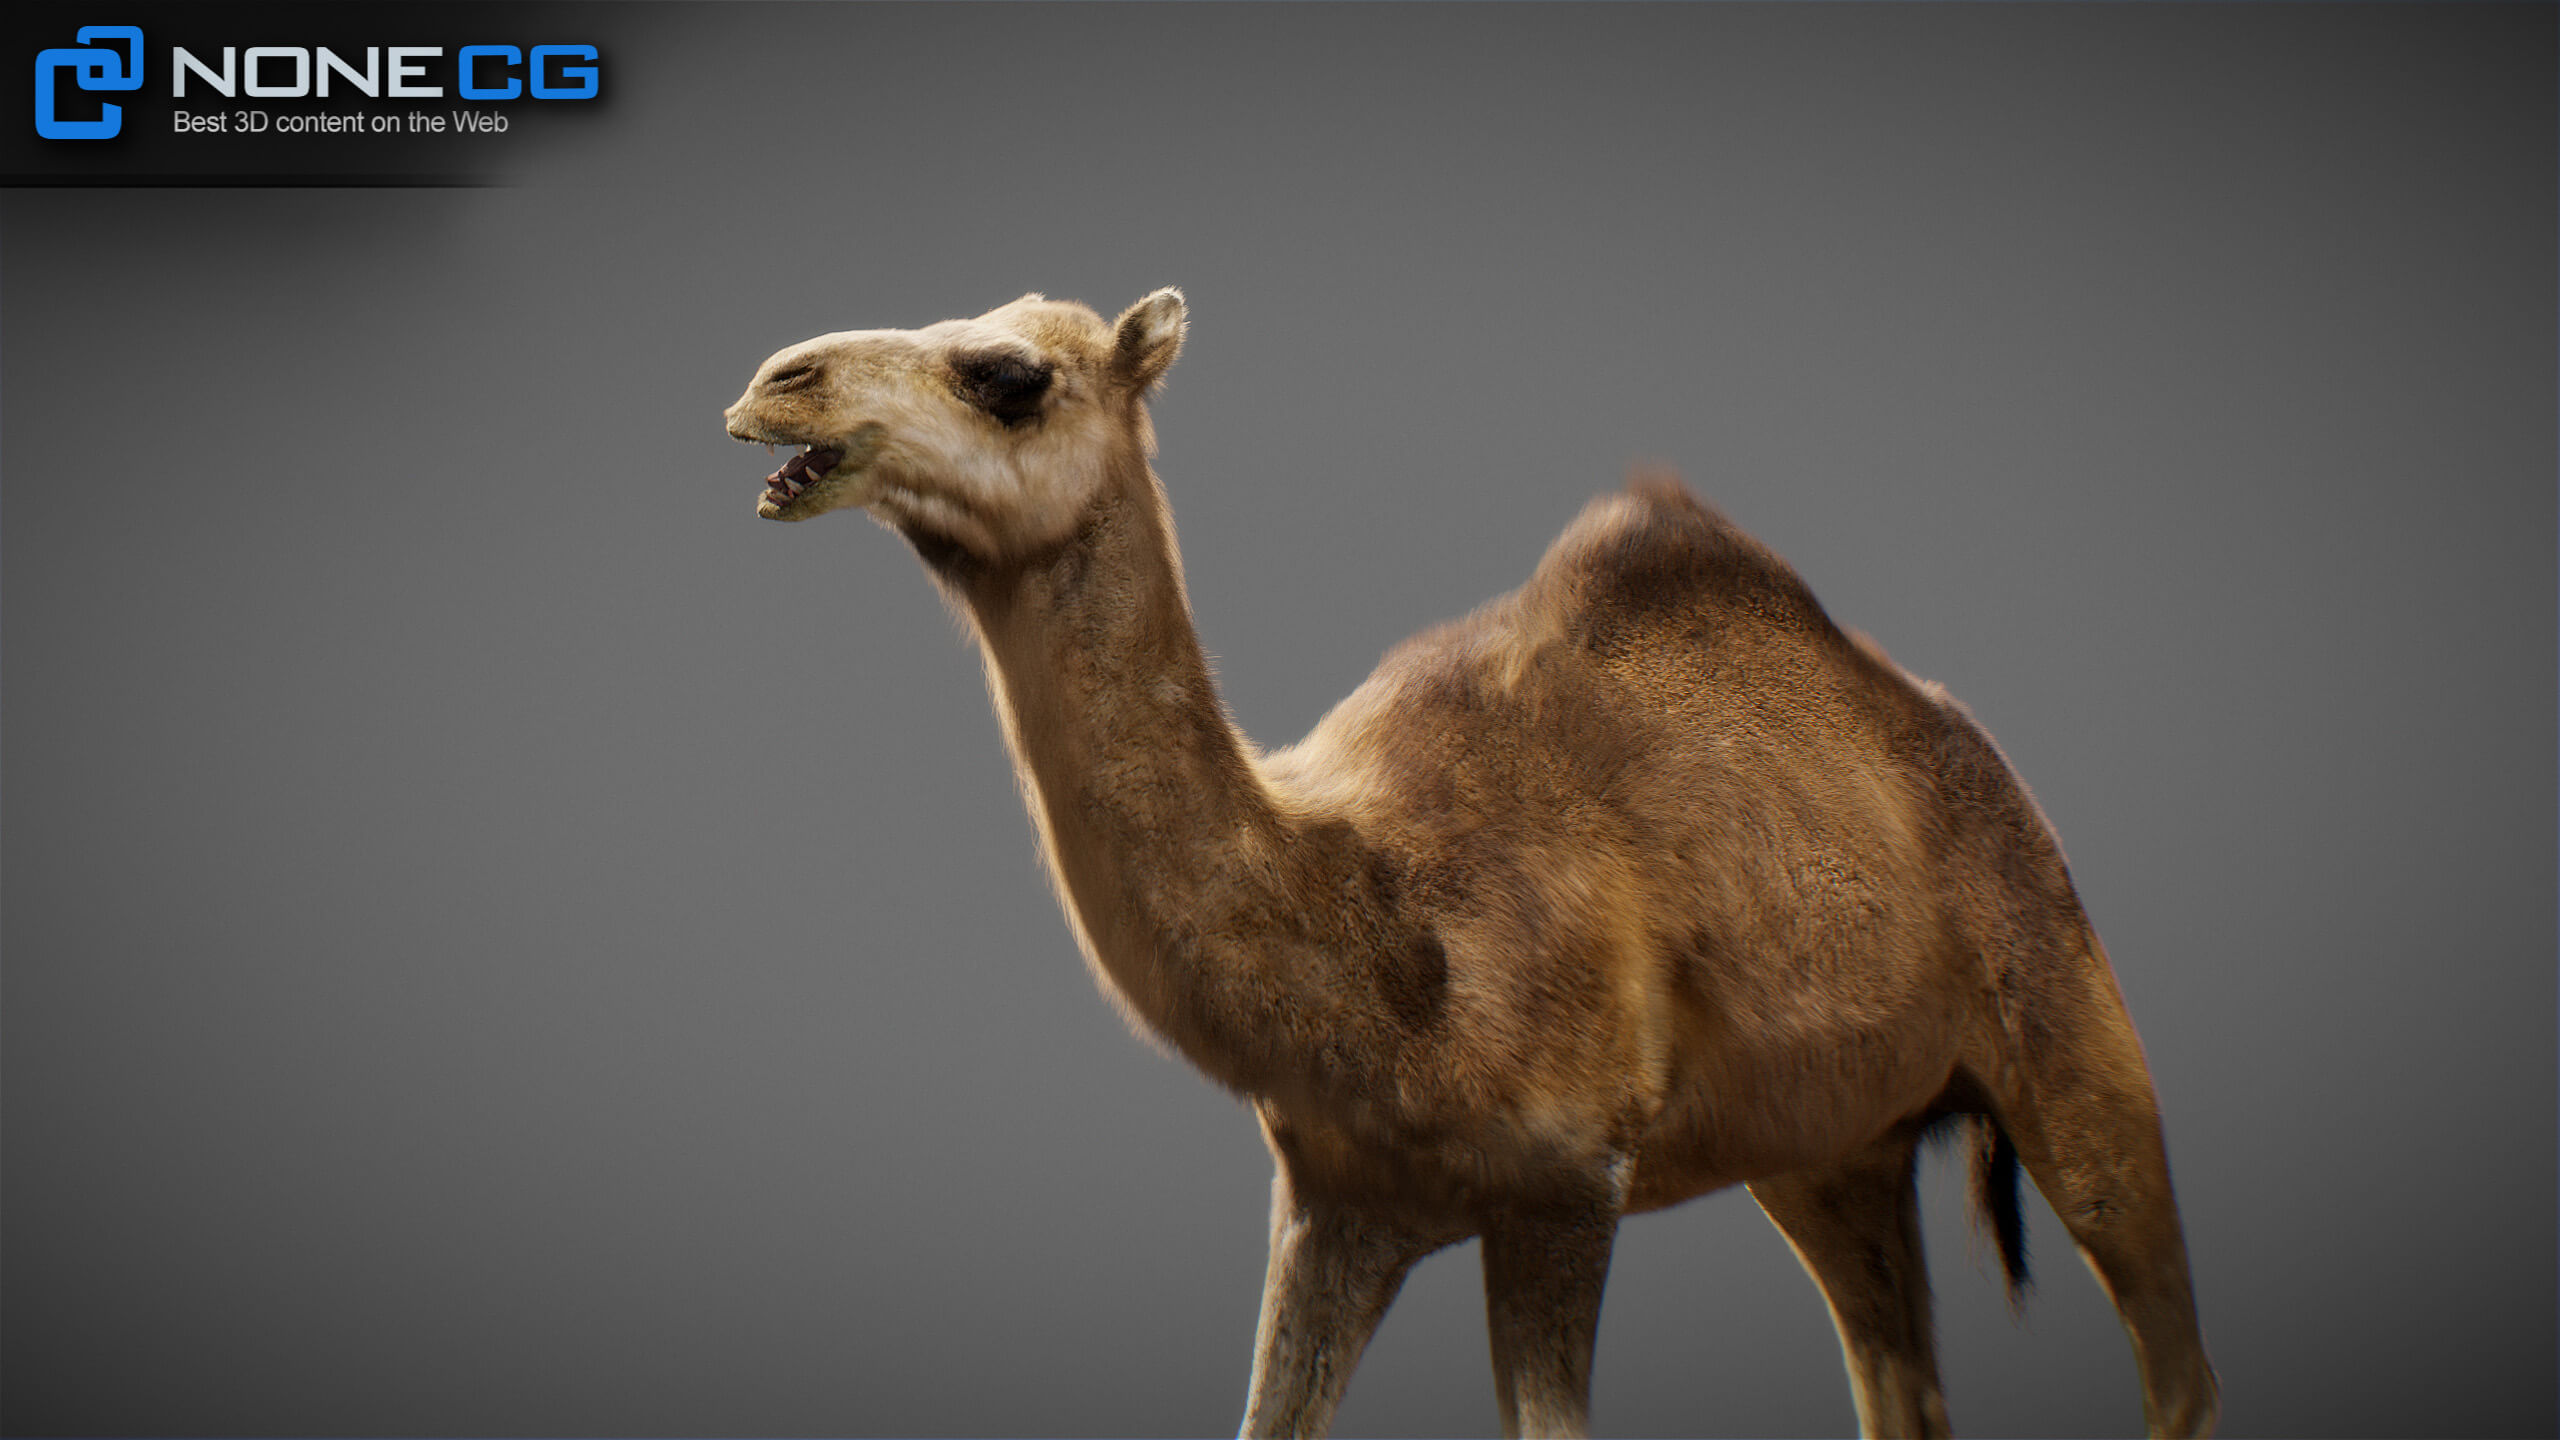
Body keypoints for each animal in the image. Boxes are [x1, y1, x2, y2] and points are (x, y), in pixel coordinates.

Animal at [720, 289, 2218, 1440]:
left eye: (1010, 377)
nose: (772, 385)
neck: (1376, 921)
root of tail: (1965, 743)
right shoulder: (1336, 1209)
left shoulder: (1566, 1188)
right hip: (1833, 1149)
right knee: (1901, 1380)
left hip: (2064, 1010)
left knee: (2170, 1347)